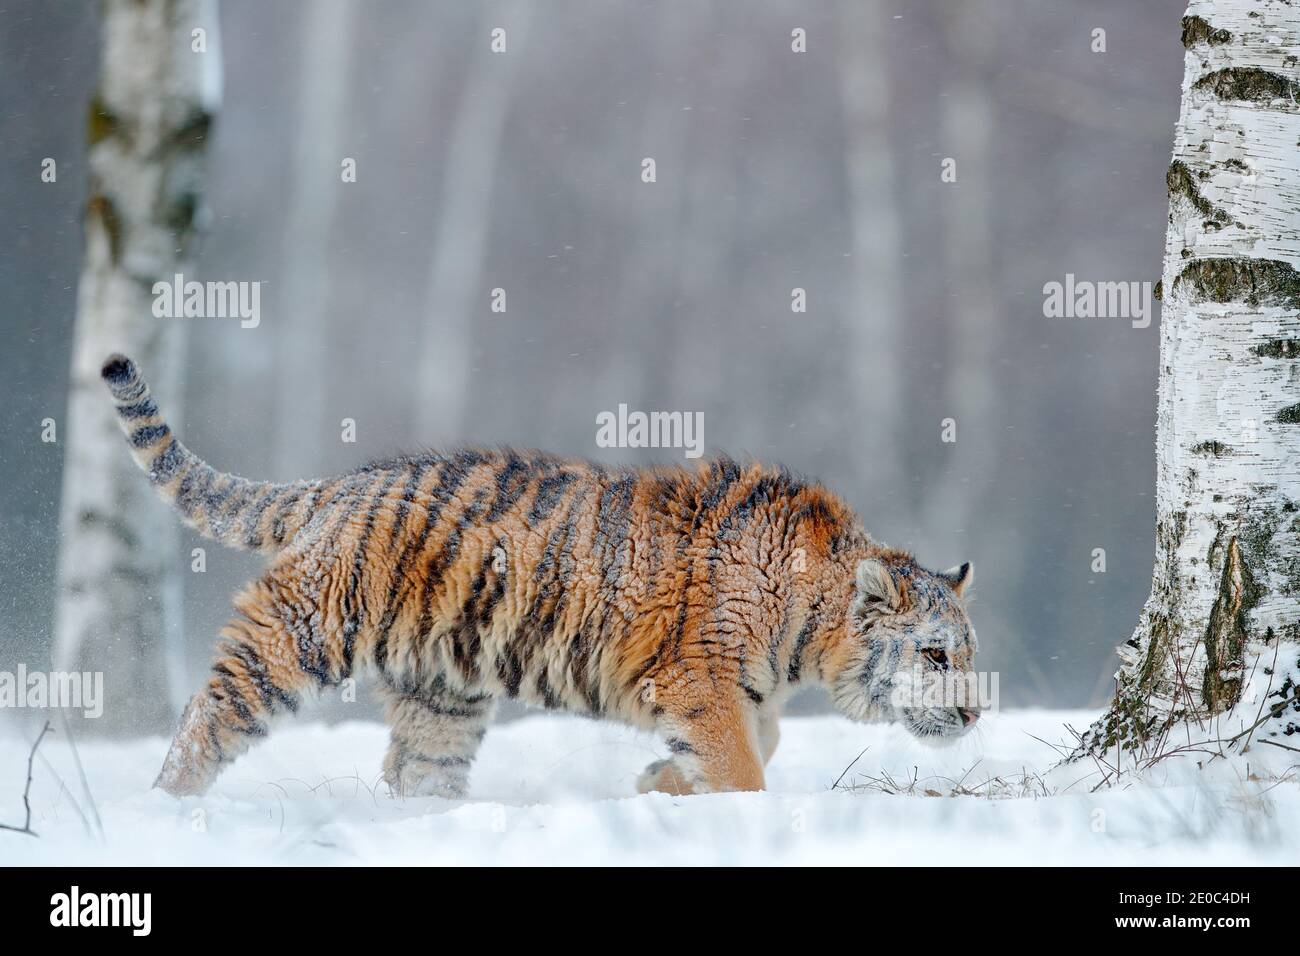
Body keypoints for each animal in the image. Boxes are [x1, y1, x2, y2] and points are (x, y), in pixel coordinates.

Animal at [100, 353, 980, 798]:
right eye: (934, 654)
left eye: (969, 655)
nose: (975, 713)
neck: (810, 627)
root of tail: (338, 486)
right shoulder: (701, 679)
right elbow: (744, 763)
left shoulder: (733, 693)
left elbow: (758, 740)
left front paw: (661, 782)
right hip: (295, 640)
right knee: (206, 719)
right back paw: (167, 811)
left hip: (442, 699)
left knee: (415, 773)